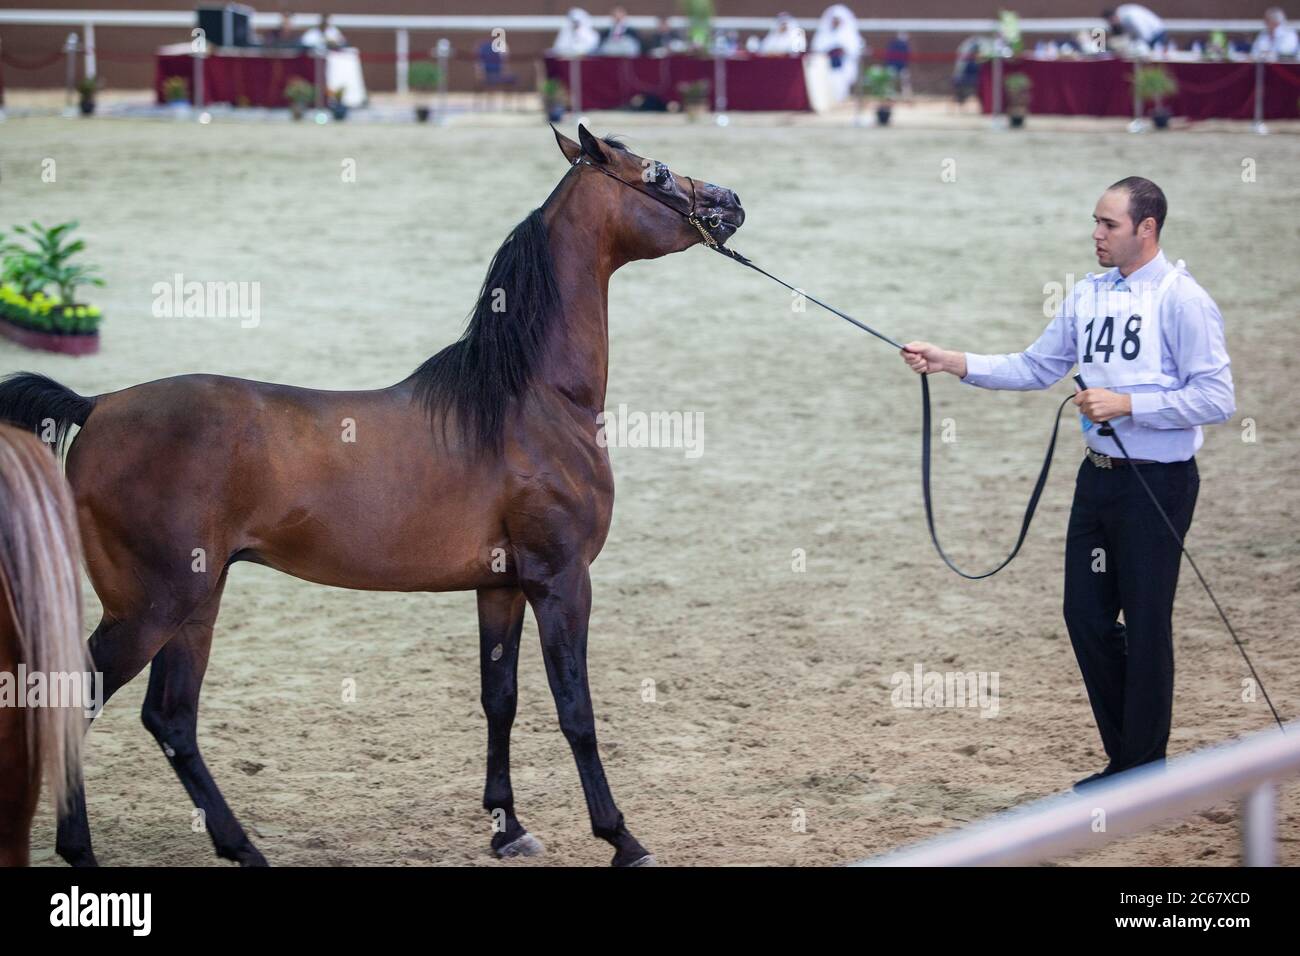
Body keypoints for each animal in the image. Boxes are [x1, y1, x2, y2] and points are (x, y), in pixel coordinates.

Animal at [0, 125, 744, 868]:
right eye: (655, 172)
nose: (730, 200)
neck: (531, 399)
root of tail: (96, 406)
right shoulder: (562, 581)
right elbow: (576, 711)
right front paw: (622, 837)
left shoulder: (502, 585)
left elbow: (498, 698)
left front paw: (507, 828)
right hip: (150, 607)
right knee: (75, 697)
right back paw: (86, 852)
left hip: (195, 602)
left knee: (170, 717)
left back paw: (240, 848)